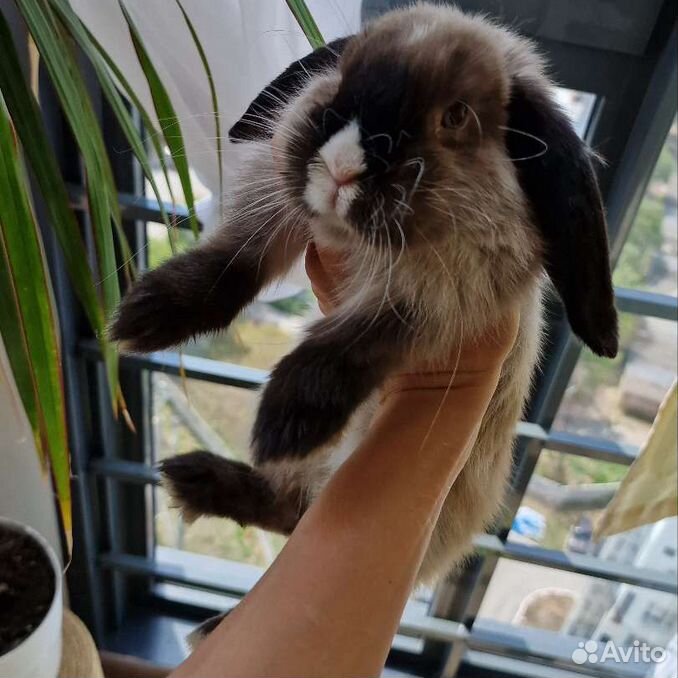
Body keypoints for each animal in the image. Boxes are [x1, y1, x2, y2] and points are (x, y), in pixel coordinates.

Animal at [111, 2, 618, 616]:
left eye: (456, 115)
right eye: (342, 76)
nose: (341, 166)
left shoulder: (438, 299)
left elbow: (351, 343)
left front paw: (287, 420)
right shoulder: (282, 213)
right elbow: (232, 263)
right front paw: (147, 312)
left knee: (297, 511)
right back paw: (194, 477)